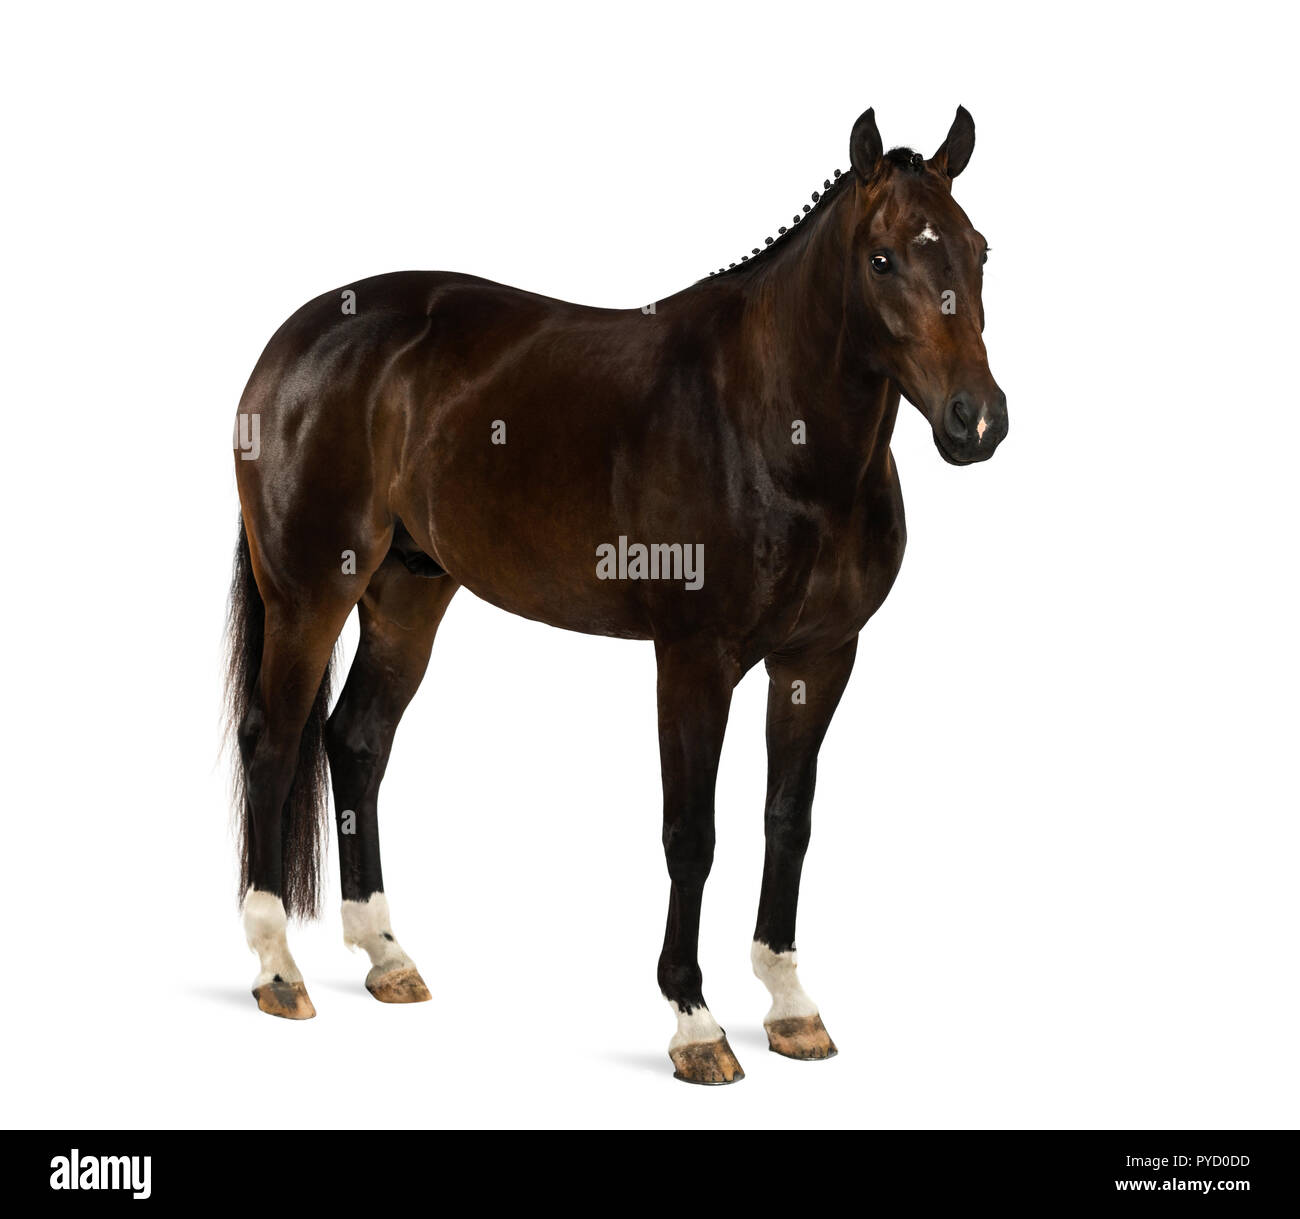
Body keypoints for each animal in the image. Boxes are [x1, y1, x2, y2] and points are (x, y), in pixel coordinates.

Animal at [225, 105, 1008, 1085]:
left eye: (979, 251)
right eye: (883, 259)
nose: (977, 421)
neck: (770, 428)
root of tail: (293, 341)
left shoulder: (820, 658)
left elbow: (787, 821)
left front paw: (791, 1005)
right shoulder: (694, 660)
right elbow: (692, 833)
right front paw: (695, 1022)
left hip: (409, 594)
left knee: (356, 741)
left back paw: (386, 956)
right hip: (308, 592)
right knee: (274, 744)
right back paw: (277, 968)